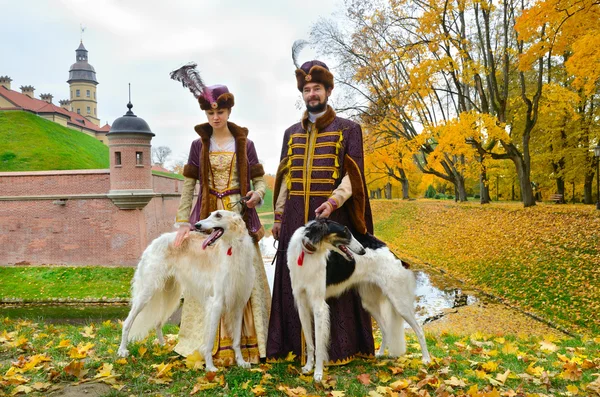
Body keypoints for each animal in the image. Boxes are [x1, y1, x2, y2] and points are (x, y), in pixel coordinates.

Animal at [118, 209, 255, 370]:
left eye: (218, 215)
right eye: (211, 214)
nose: (197, 225)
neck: (233, 250)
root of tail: (155, 241)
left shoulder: (239, 304)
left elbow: (237, 340)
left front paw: (241, 362)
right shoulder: (216, 303)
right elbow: (209, 341)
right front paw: (210, 367)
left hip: (171, 294)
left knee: (158, 322)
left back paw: (163, 346)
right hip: (147, 292)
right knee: (127, 322)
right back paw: (122, 351)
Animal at [288, 220, 428, 380]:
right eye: (345, 232)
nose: (362, 251)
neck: (307, 253)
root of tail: (395, 256)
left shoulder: (319, 306)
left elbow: (318, 344)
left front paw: (318, 374)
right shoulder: (302, 305)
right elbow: (310, 344)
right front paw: (308, 367)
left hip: (399, 302)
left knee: (419, 330)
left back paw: (426, 359)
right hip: (369, 302)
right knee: (386, 329)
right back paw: (380, 354)